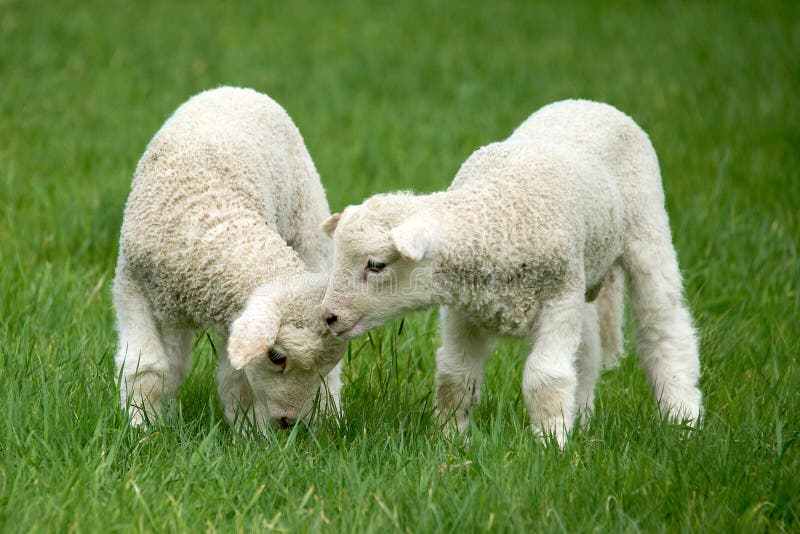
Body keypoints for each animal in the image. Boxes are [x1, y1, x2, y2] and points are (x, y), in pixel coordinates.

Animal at [114, 86, 347, 433]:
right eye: (277, 357)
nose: (288, 421)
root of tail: (238, 89)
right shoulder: (133, 287)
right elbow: (147, 368)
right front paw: (142, 425)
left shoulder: (232, 313)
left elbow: (238, 382)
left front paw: (249, 432)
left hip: (310, 229)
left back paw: (331, 416)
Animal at [320, 99, 702, 446]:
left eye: (376, 265)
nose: (328, 317)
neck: (497, 217)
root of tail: (591, 102)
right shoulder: (464, 308)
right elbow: (456, 376)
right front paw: (450, 442)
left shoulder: (560, 297)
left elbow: (544, 376)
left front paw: (551, 444)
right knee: (587, 351)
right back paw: (583, 418)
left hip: (646, 230)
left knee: (663, 327)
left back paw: (682, 418)